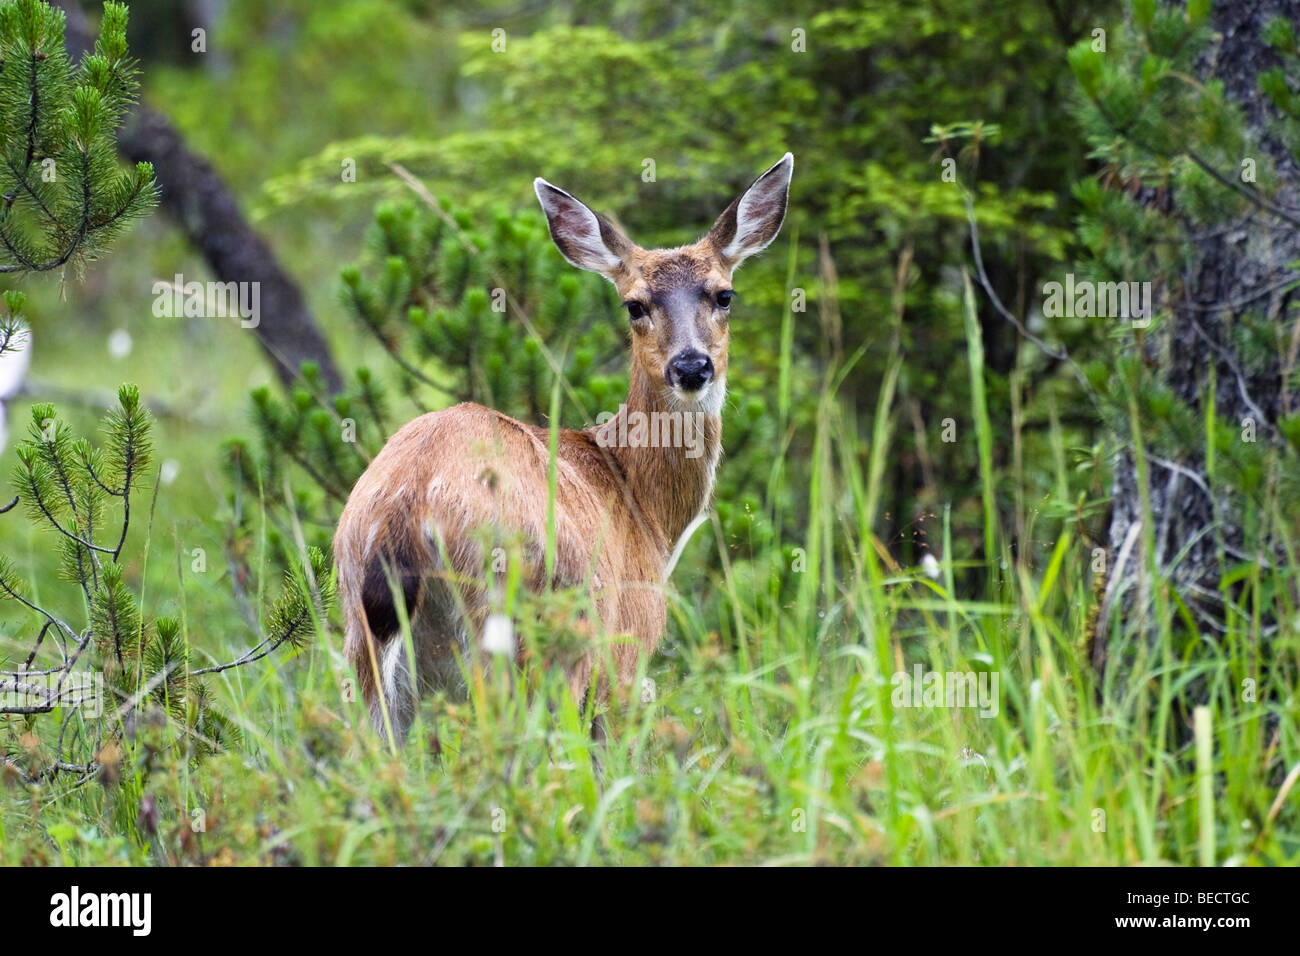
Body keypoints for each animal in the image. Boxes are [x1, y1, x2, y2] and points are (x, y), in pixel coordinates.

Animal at [334, 154, 793, 744]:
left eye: (723, 294)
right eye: (634, 305)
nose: (691, 366)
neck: (644, 510)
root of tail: (408, 503)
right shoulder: (628, 645)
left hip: (364, 633)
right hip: (525, 626)